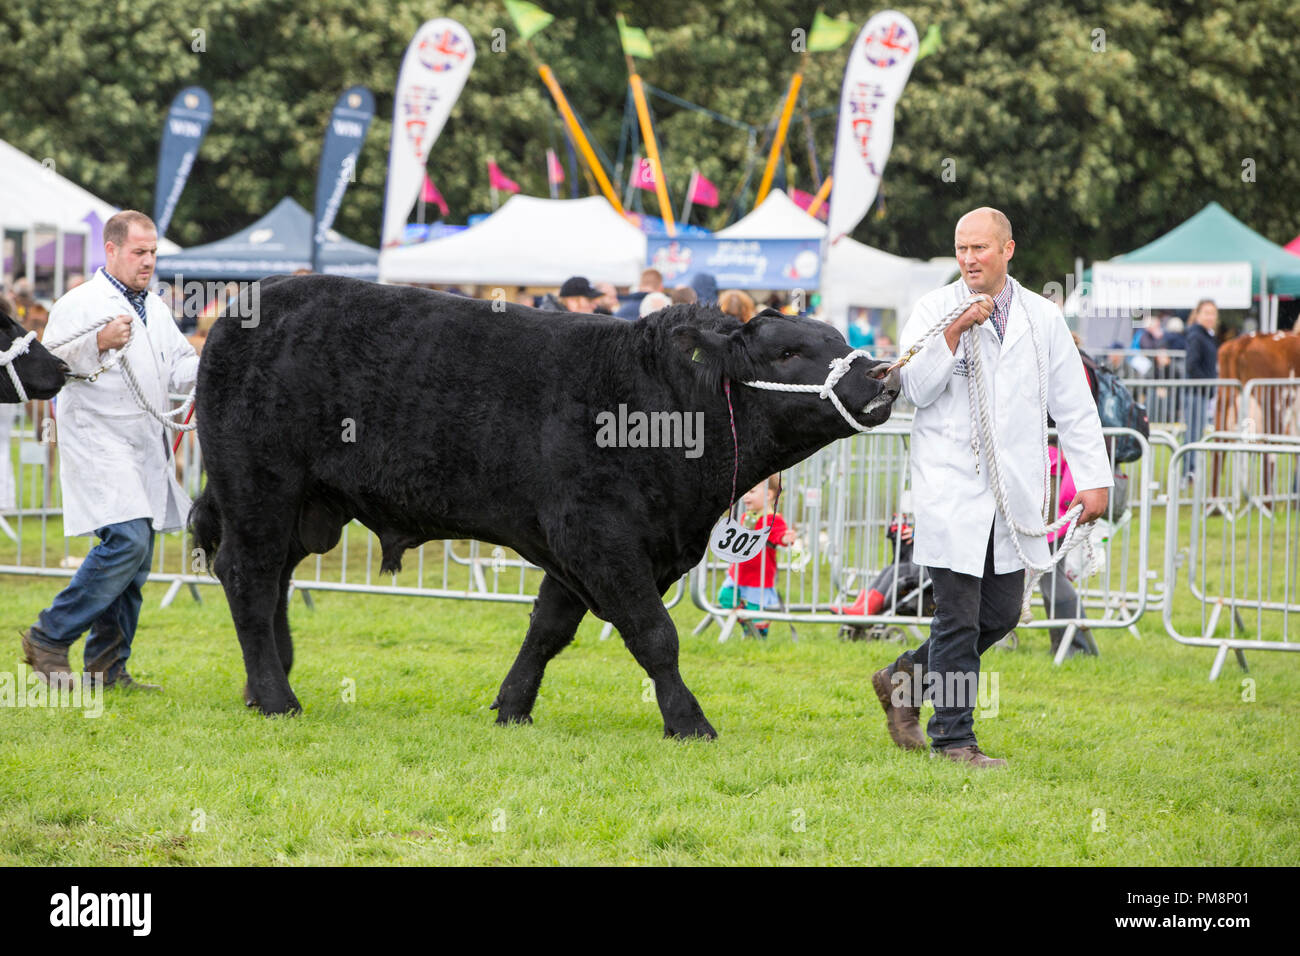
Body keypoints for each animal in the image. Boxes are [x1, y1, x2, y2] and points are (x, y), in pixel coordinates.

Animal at [189, 275, 899, 738]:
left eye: (837, 336)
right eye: (789, 351)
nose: (883, 373)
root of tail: (244, 305)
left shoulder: (578, 549)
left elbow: (547, 630)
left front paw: (511, 708)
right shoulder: (597, 534)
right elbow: (655, 634)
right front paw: (689, 721)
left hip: (304, 506)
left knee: (273, 581)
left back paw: (263, 684)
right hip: (259, 485)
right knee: (248, 577)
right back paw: (277, 698)